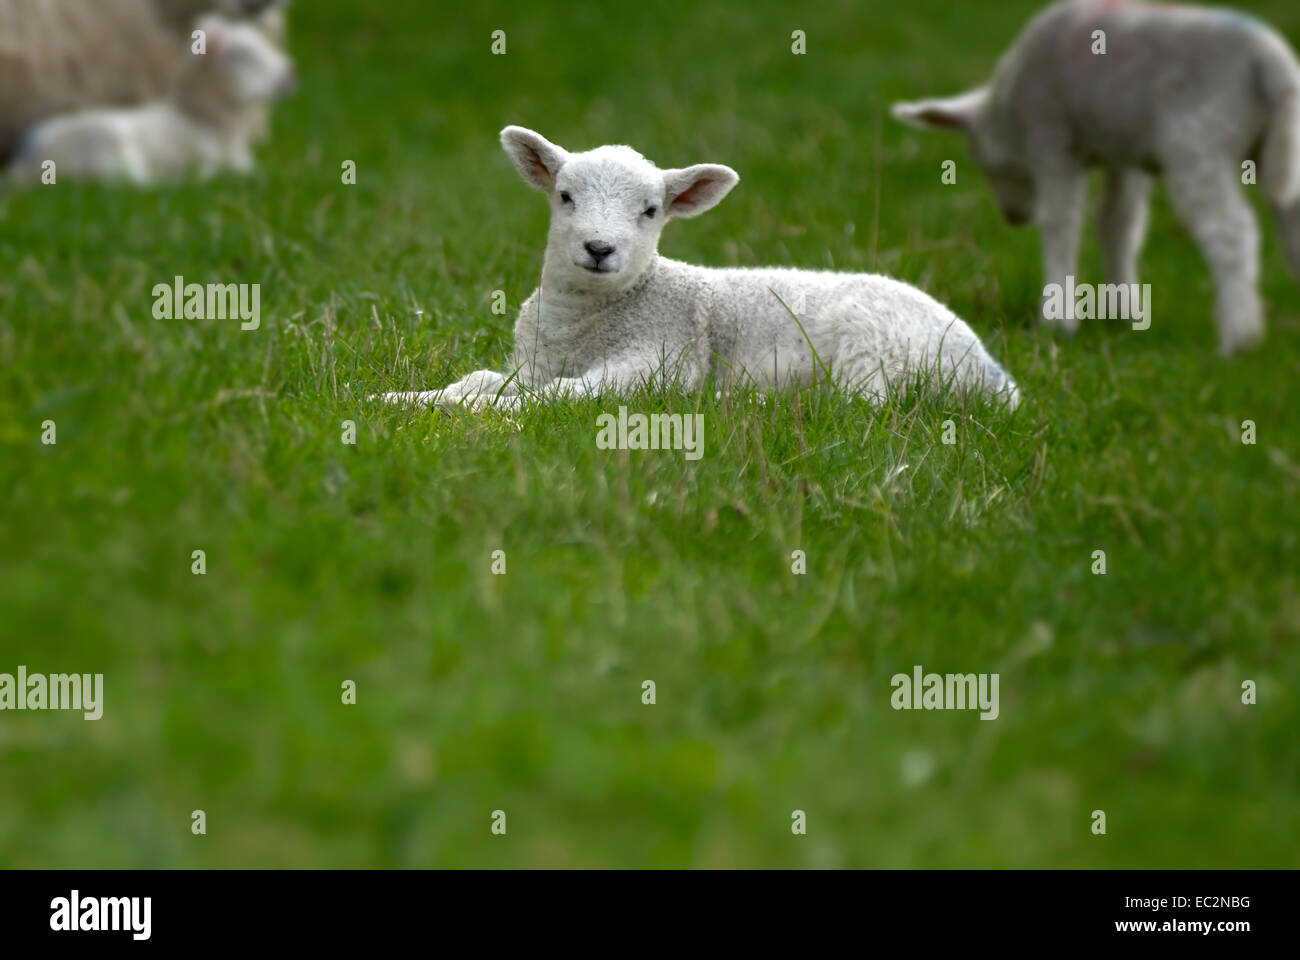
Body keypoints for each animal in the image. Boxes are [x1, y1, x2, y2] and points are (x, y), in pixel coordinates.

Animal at [379, 126, 1020, 414]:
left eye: (650, 210)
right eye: (564, 195)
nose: (598, 248)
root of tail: (992, 373)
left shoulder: (659, 360)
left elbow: (565, 394)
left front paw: (493, 413)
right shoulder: (532, 362)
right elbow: (476, 380)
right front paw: (405, 398)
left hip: (878, 346)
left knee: (863, 406)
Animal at [891, 0, 1300, 356]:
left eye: (987, 165)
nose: (1014, 218)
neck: (1009, 115)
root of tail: (1271, 63)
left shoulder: (1051, 135)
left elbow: (1062, 222)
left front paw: (1057, 321)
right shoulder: (1122, 153)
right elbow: (1117, 224)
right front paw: (1123, 312)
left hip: (1196, 143)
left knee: (1230, 232)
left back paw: (1239, 339)